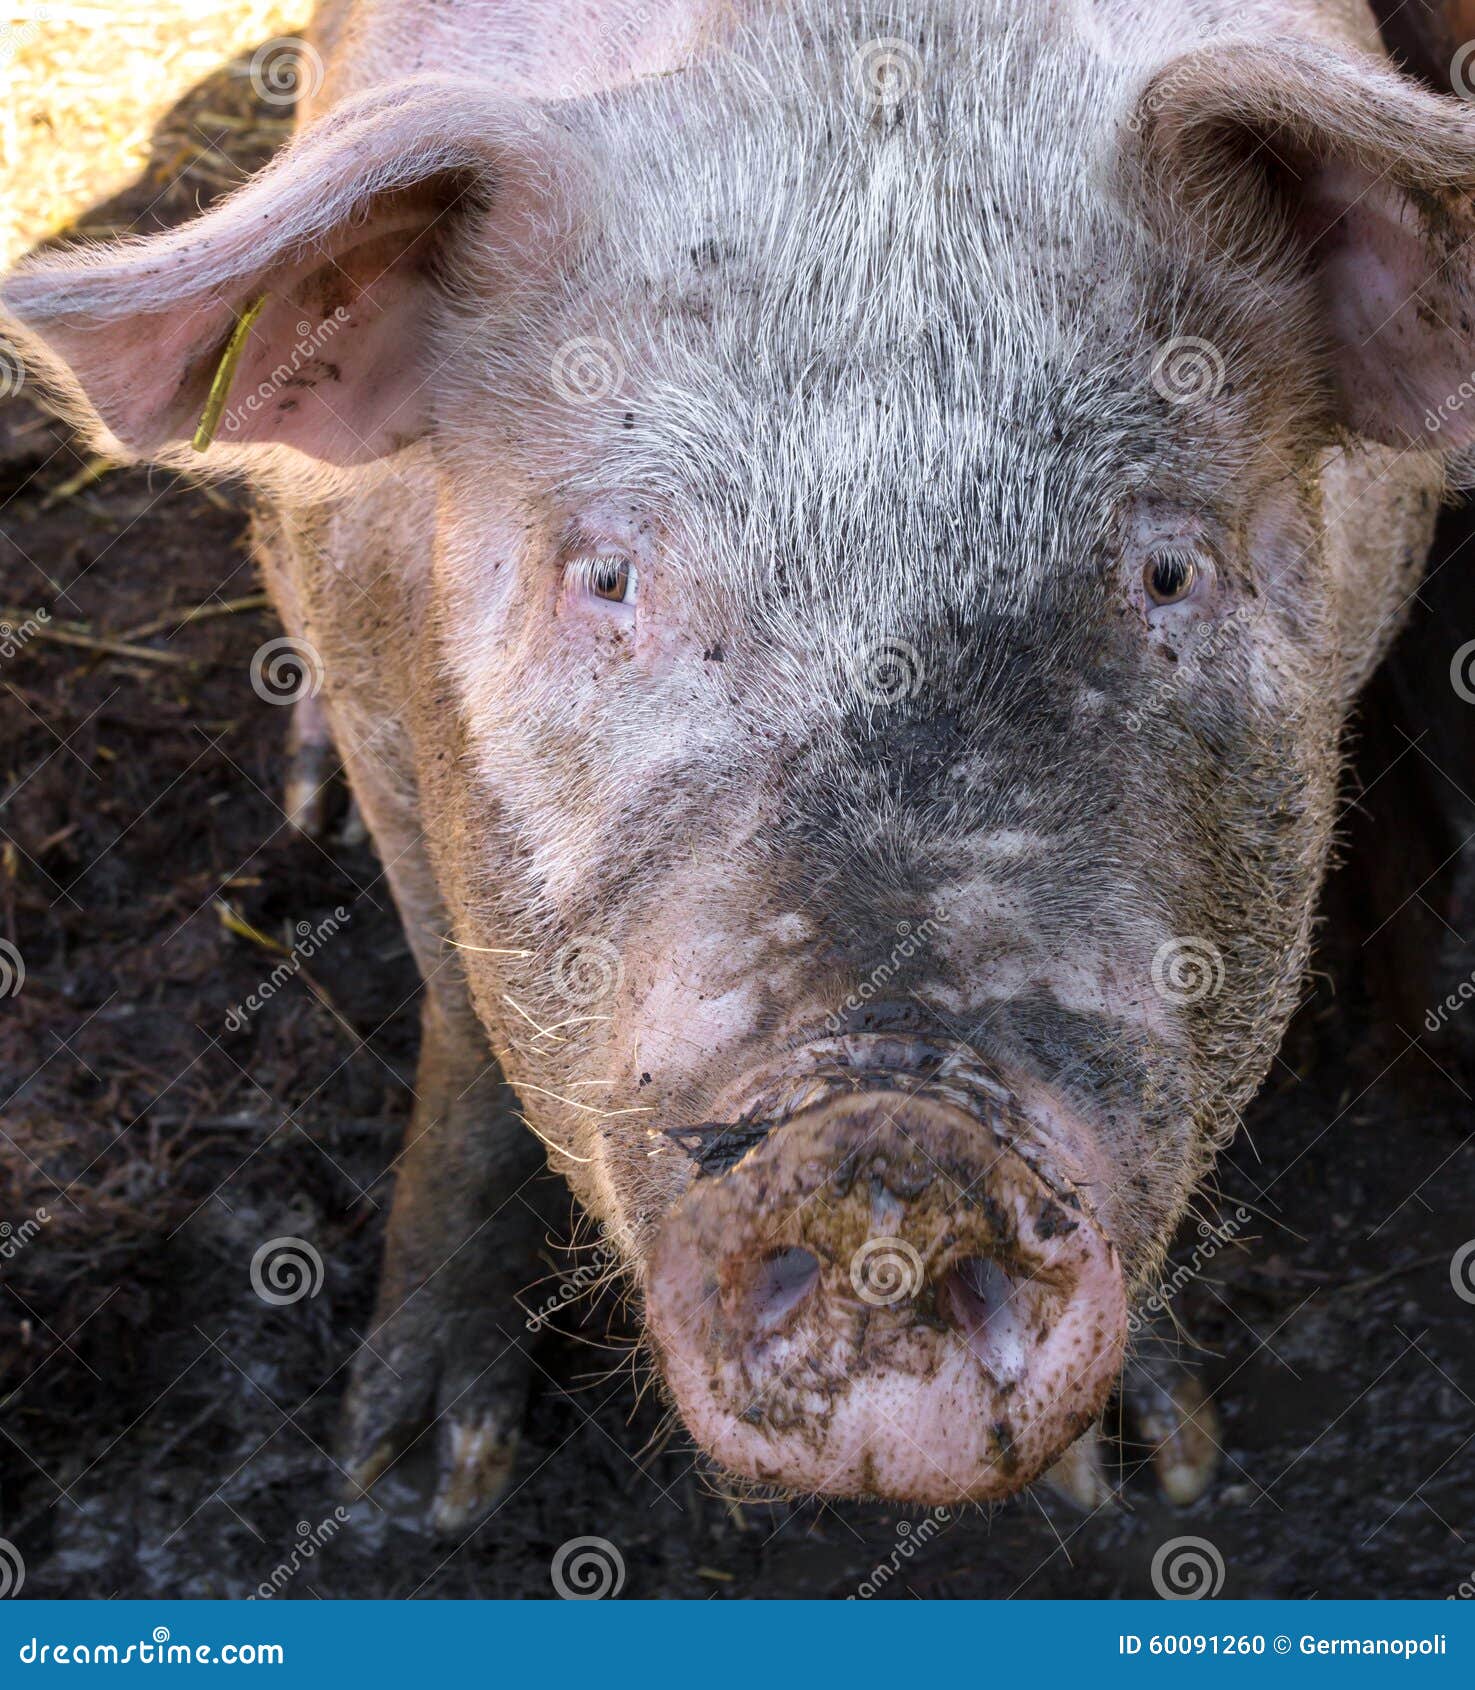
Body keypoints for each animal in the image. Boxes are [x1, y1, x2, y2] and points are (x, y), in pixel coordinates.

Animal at [3, 0, 1470, 1525]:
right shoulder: (366, 675)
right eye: (605, 575)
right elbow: (461, 1034)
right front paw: (415, 1479)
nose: (894, 1139)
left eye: (1170, 570)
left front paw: (1152, 1470)